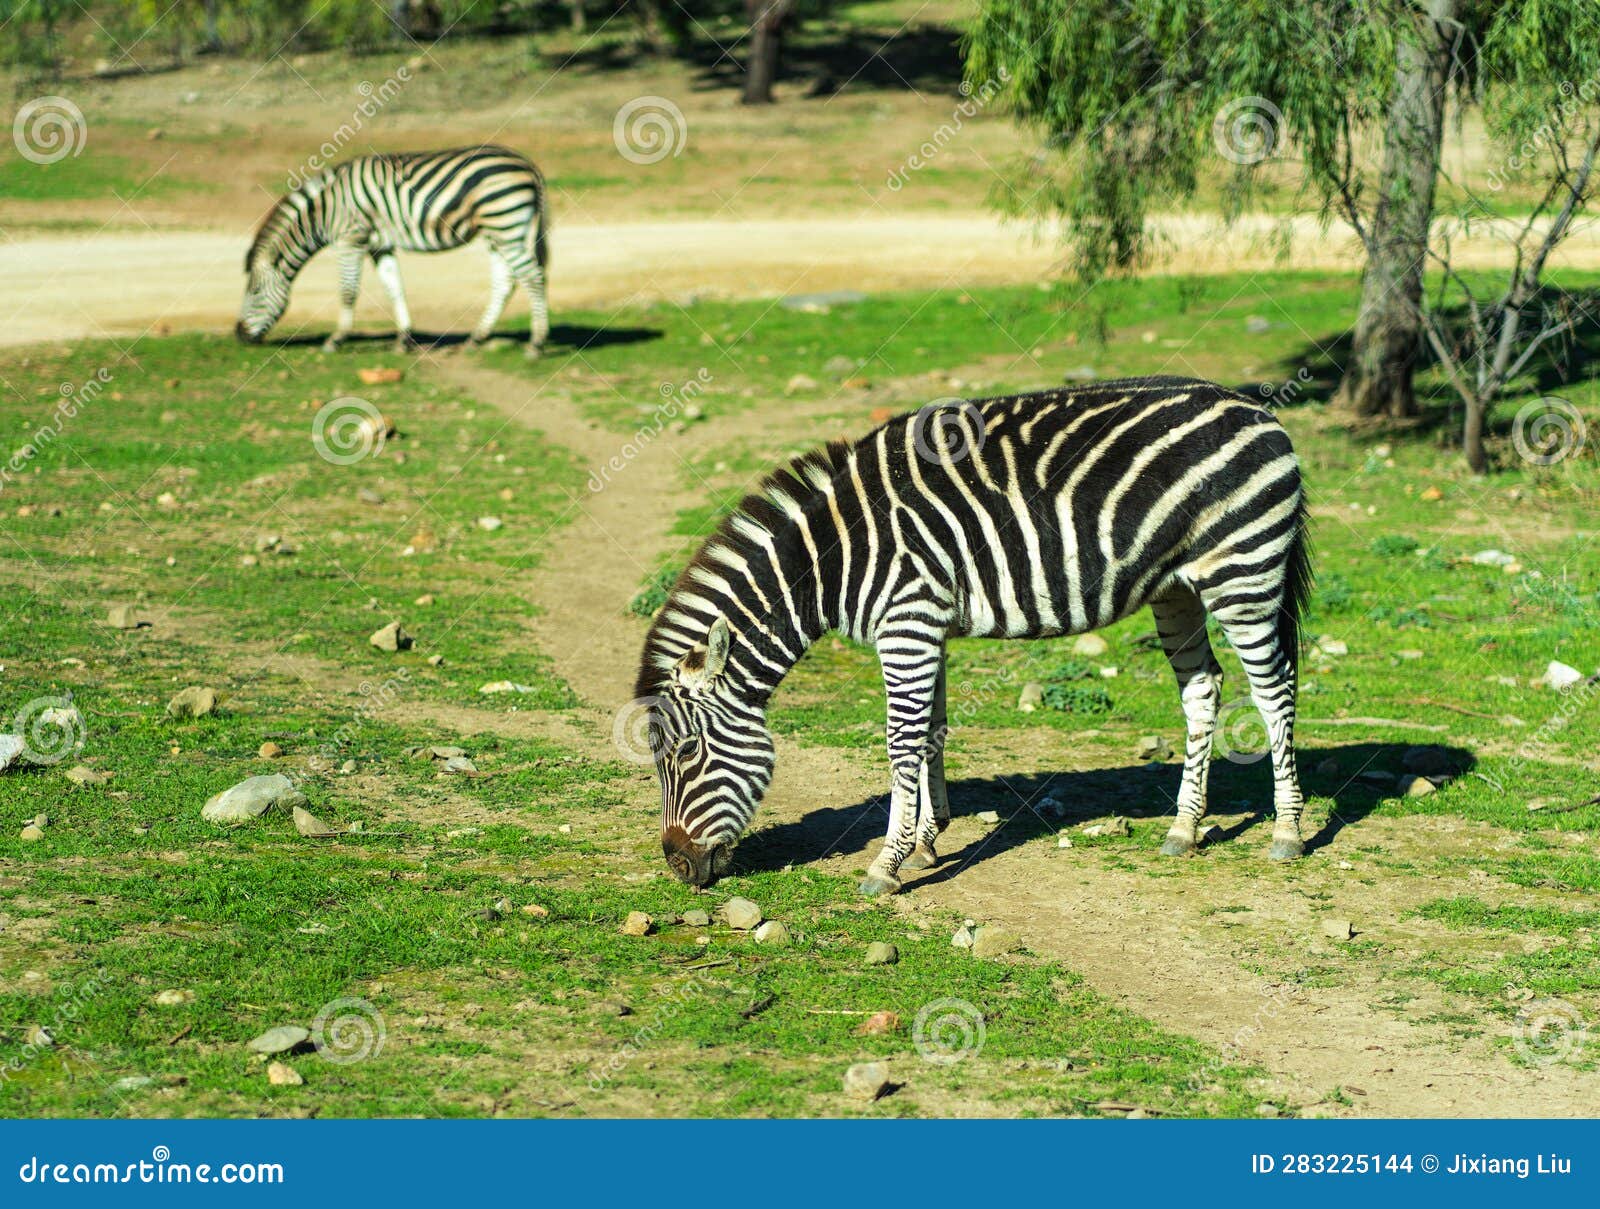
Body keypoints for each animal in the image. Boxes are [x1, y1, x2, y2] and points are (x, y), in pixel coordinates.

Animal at [236, 145, 550, 358]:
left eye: (254, 291)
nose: (239, 335)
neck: (326, 210)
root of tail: (527, 163)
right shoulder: (380, 245)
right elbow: (394, 287)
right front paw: (404, 340)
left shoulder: (352, 238)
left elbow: (348, 291)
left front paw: (336, 339)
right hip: (498, 233)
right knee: (505, 282)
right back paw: (478, 338)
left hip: (506, 224)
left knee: (533, 278)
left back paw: (536, 344)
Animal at [634, 376, 1313, 896]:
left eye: (685, 755)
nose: (678, 867)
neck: (835, 557)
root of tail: (1258, 410)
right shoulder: (924, 626)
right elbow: (930, 732)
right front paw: (926, 842)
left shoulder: (907, 623)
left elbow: (901, 743)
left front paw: (886, 864)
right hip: (1176, 588)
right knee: (1203, 687)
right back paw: (1184, 829)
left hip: (1243, 569)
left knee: (1274, 689)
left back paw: (1287, 832)